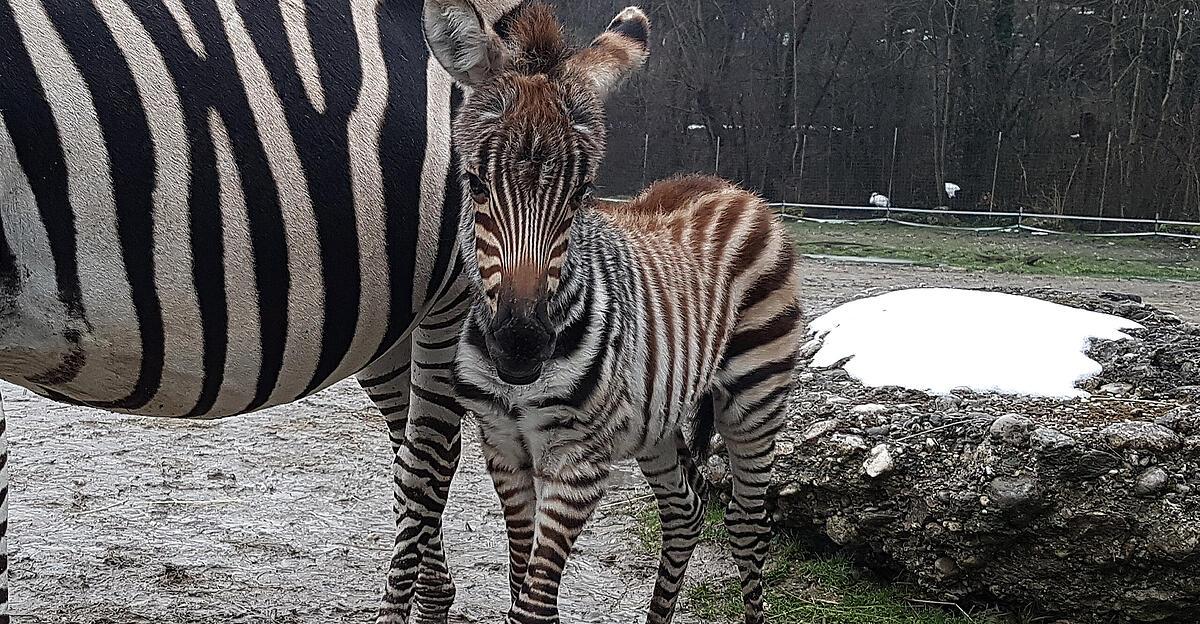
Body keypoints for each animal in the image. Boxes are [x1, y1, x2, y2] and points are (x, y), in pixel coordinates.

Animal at [425, 2, 806, 622]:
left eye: (582, 195)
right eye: (475, 184)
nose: (520, 349)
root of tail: (730, 186)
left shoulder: (578, 462)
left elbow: (533, 603)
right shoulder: (503, 448)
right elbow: (522, 585)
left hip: (755, 399)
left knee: (749, 526)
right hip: (657, 418)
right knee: (686, 511)